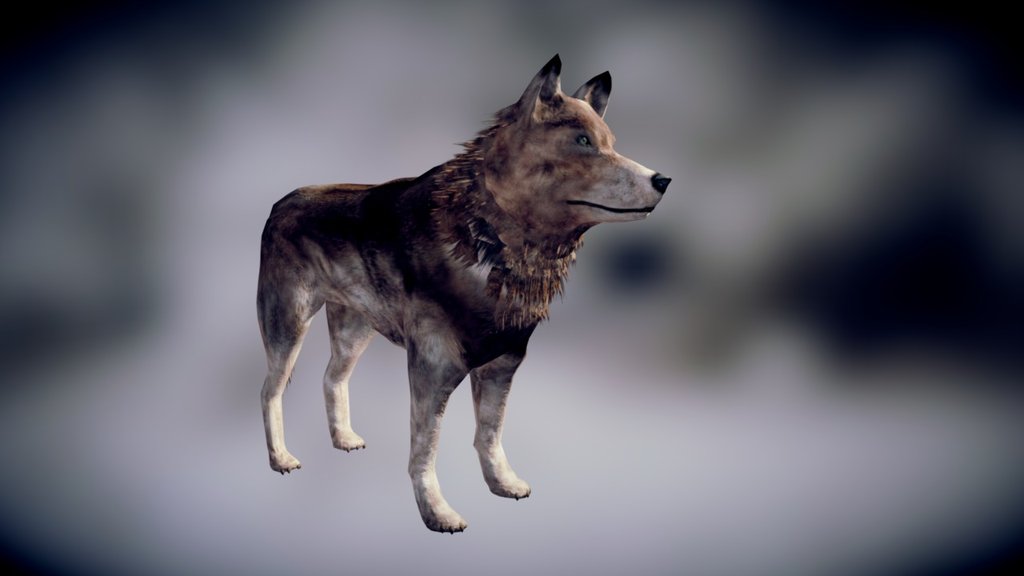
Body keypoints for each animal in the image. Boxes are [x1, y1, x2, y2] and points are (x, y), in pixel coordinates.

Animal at [257, 54, 670, 532]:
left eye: (611, 143)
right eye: (583, 141)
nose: (663, 180)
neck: (489, 239)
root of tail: (280, 202)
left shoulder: (502, 365)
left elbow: (490, 435)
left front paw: (503, 484)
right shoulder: (432, 371)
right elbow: (426, 449)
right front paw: (437, 513)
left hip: (355, 331)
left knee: (332, 377)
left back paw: (344, 439)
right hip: (289, 327)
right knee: (270, 390)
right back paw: (280, 459)